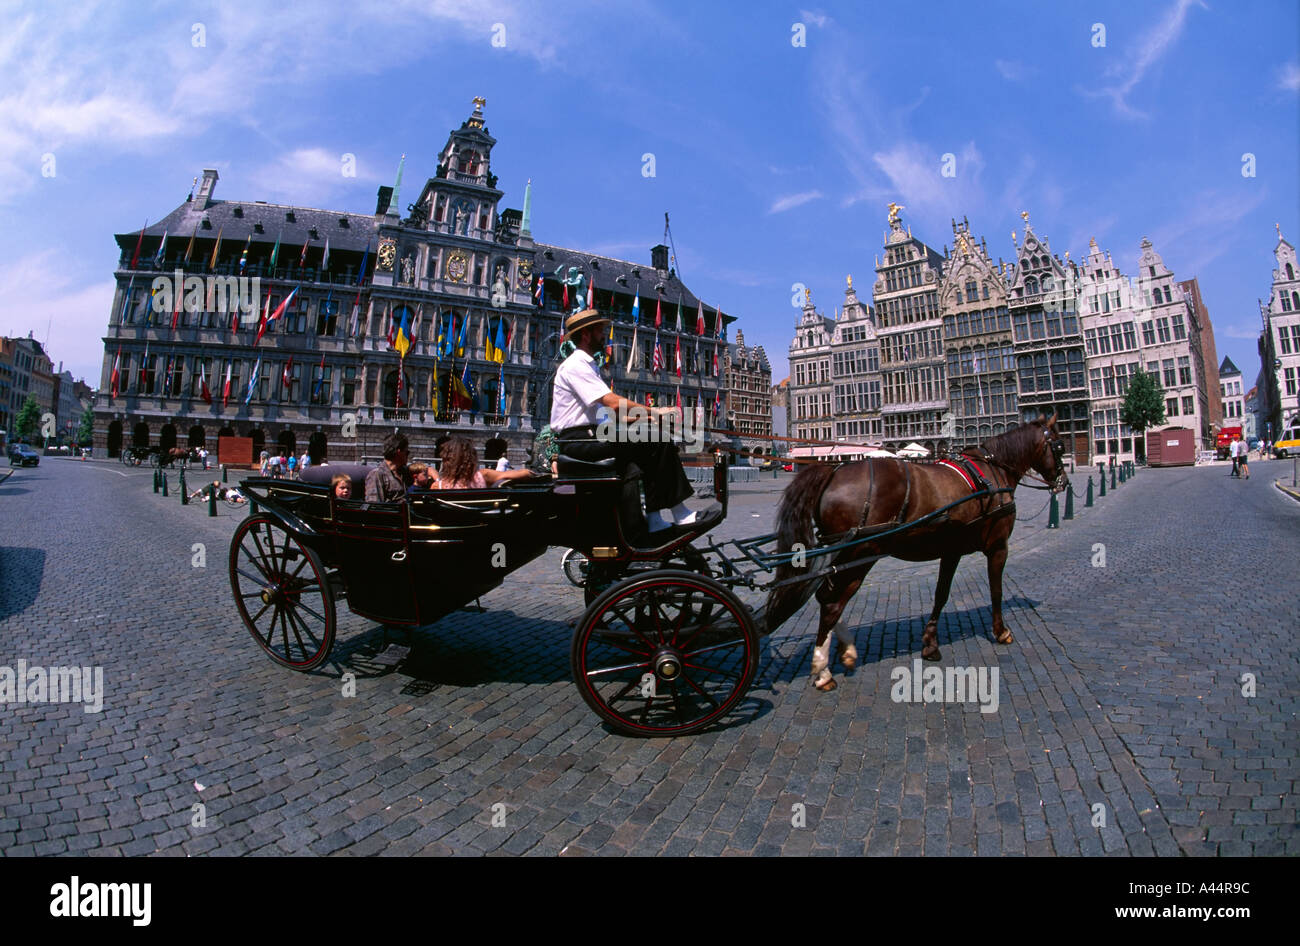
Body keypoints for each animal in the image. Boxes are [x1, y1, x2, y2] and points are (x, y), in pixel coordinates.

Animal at [765, 414, 1068, 691]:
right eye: (1059, 446)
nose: (1063, 482)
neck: (994, 471)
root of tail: (833, 471)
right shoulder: (998, 546)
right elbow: (996, 590)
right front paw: (1002, 631)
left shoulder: (952, 550)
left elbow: (941, 595)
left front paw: (930, 645)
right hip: (861, 553)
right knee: (831, 602)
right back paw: (823, 671)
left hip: (847, 553)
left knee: (827, 597)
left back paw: (845, 653)